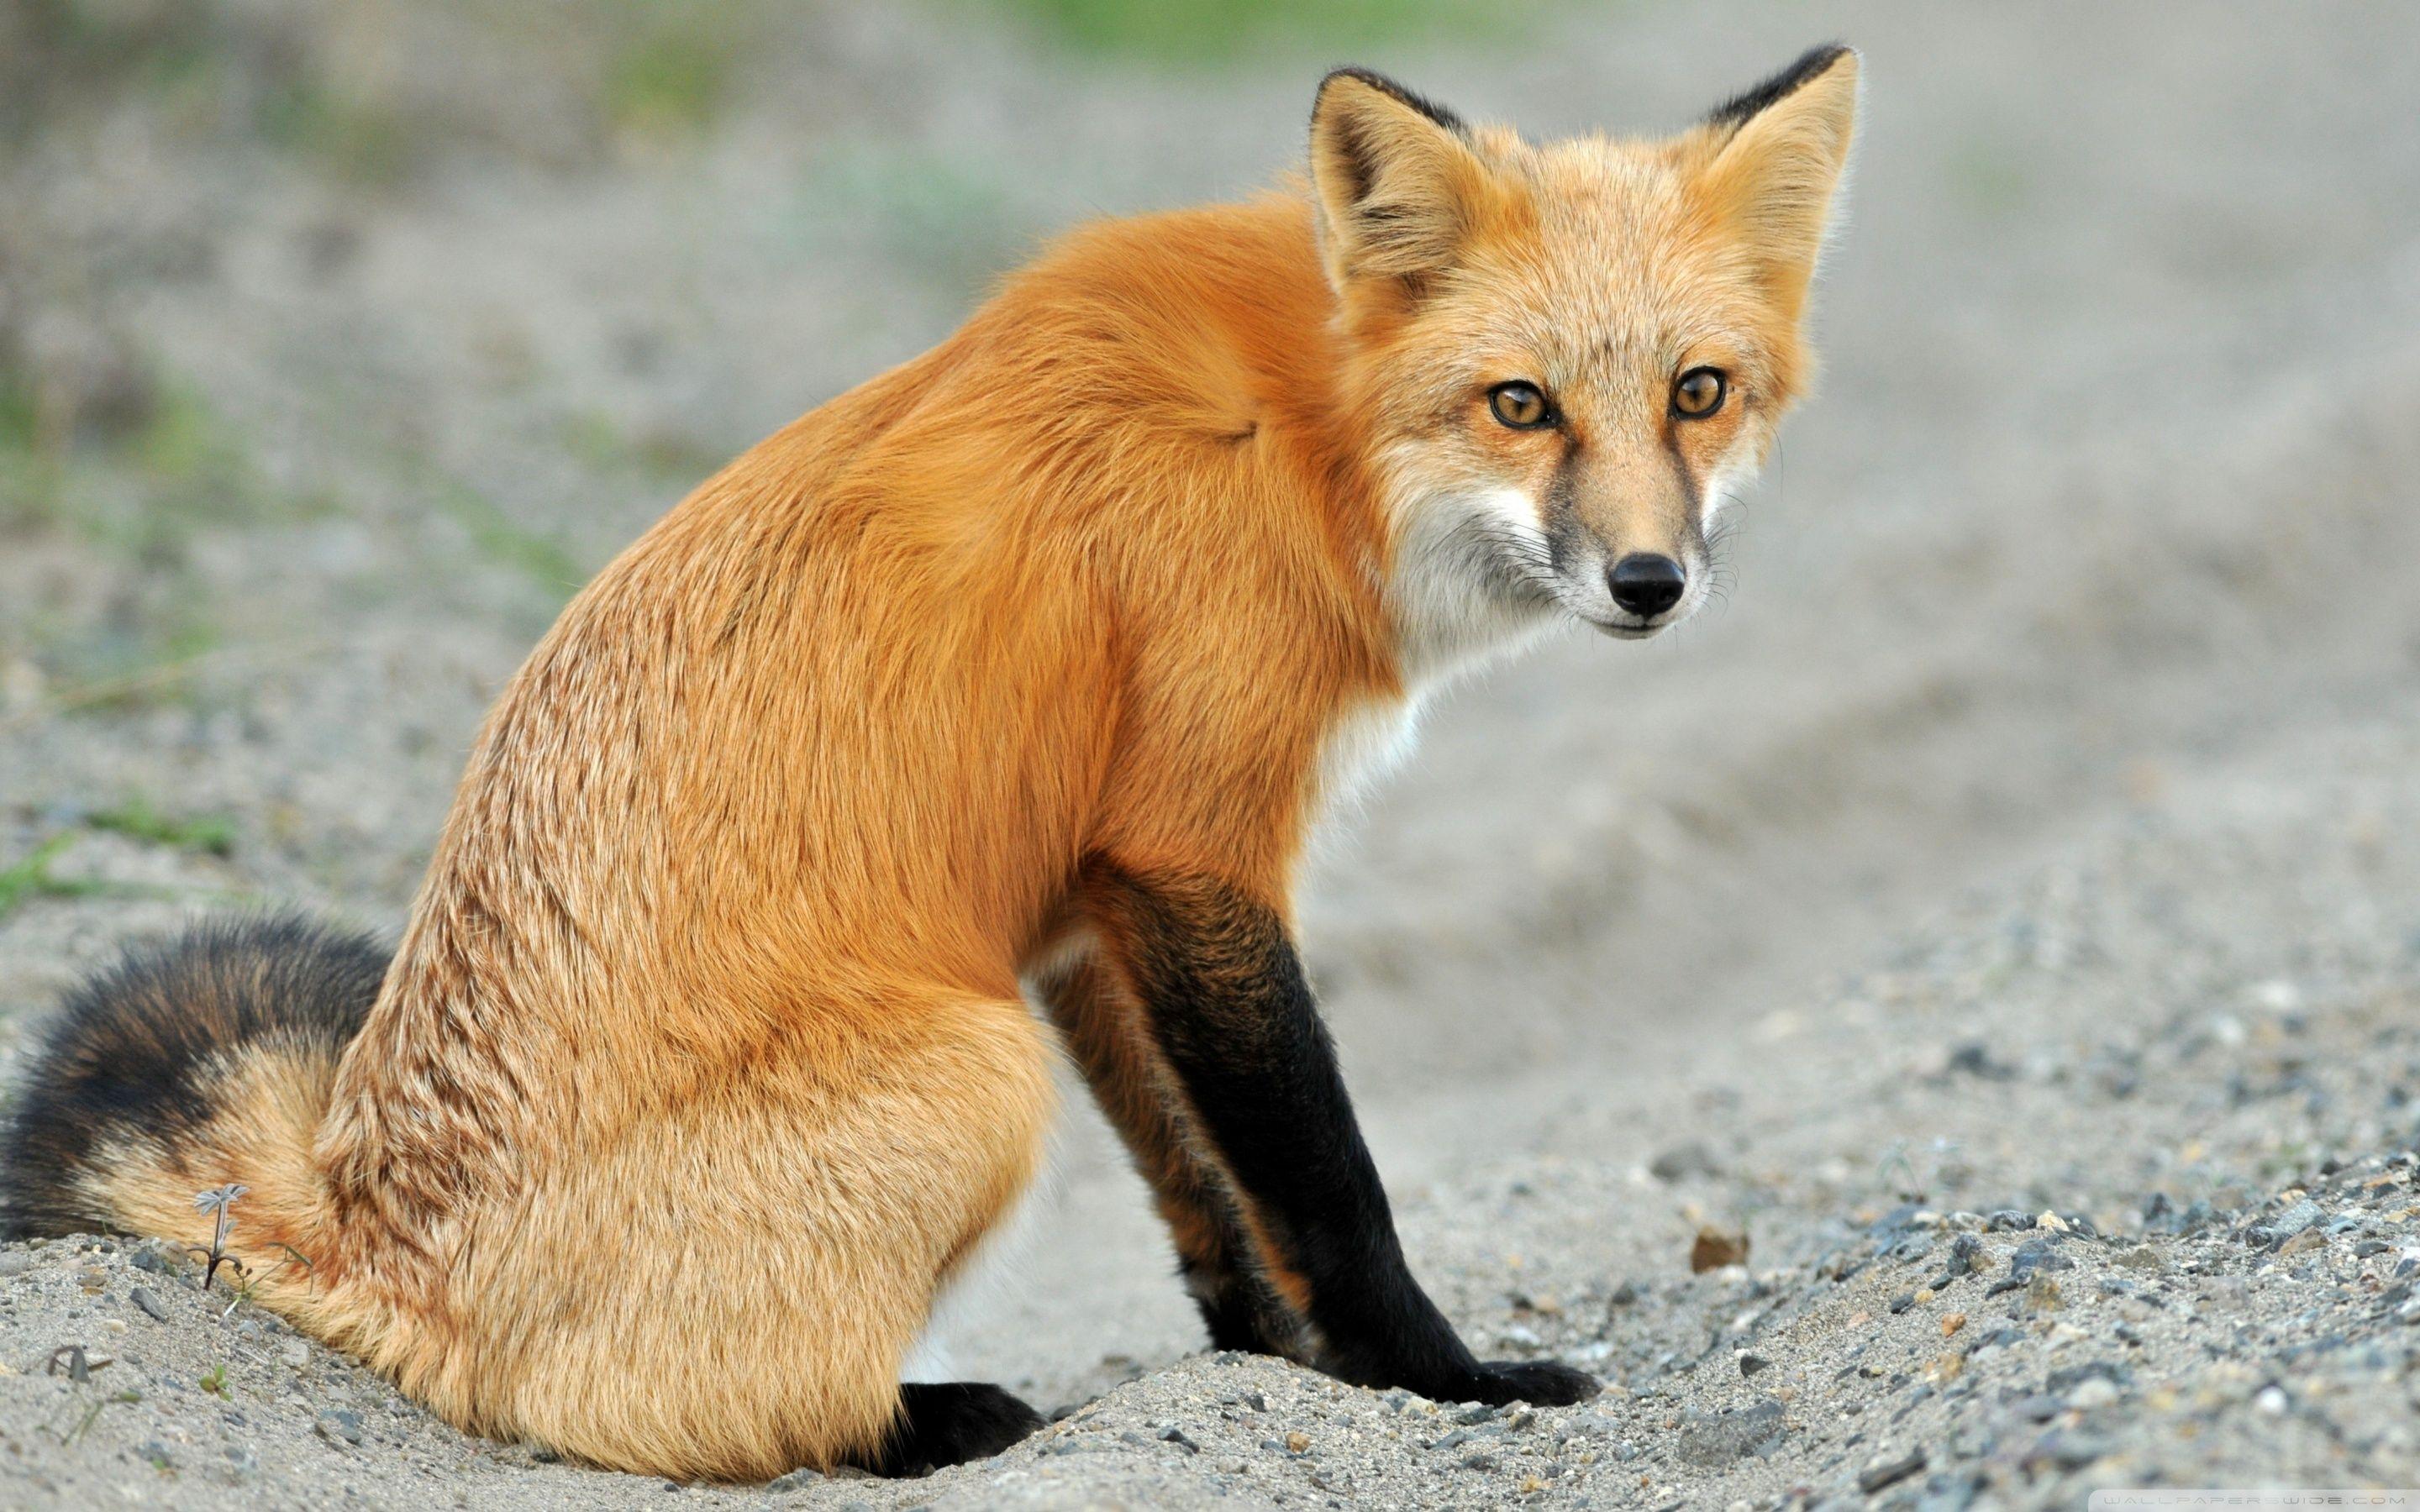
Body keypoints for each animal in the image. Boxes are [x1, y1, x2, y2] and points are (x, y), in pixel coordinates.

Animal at [1, 49, 1857, 1481]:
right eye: (1521, 405)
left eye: (1699, 392)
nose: (1650, 583)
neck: (1302, 438)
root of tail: (361, 1227)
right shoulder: (1194, 853)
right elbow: (1324, 1174)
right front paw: (1439, 1381)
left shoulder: (1097, 901)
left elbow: (1203, 1188)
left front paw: (1269, 1373)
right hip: (976, 1073)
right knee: (649, 1417)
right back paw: (928, 1421)